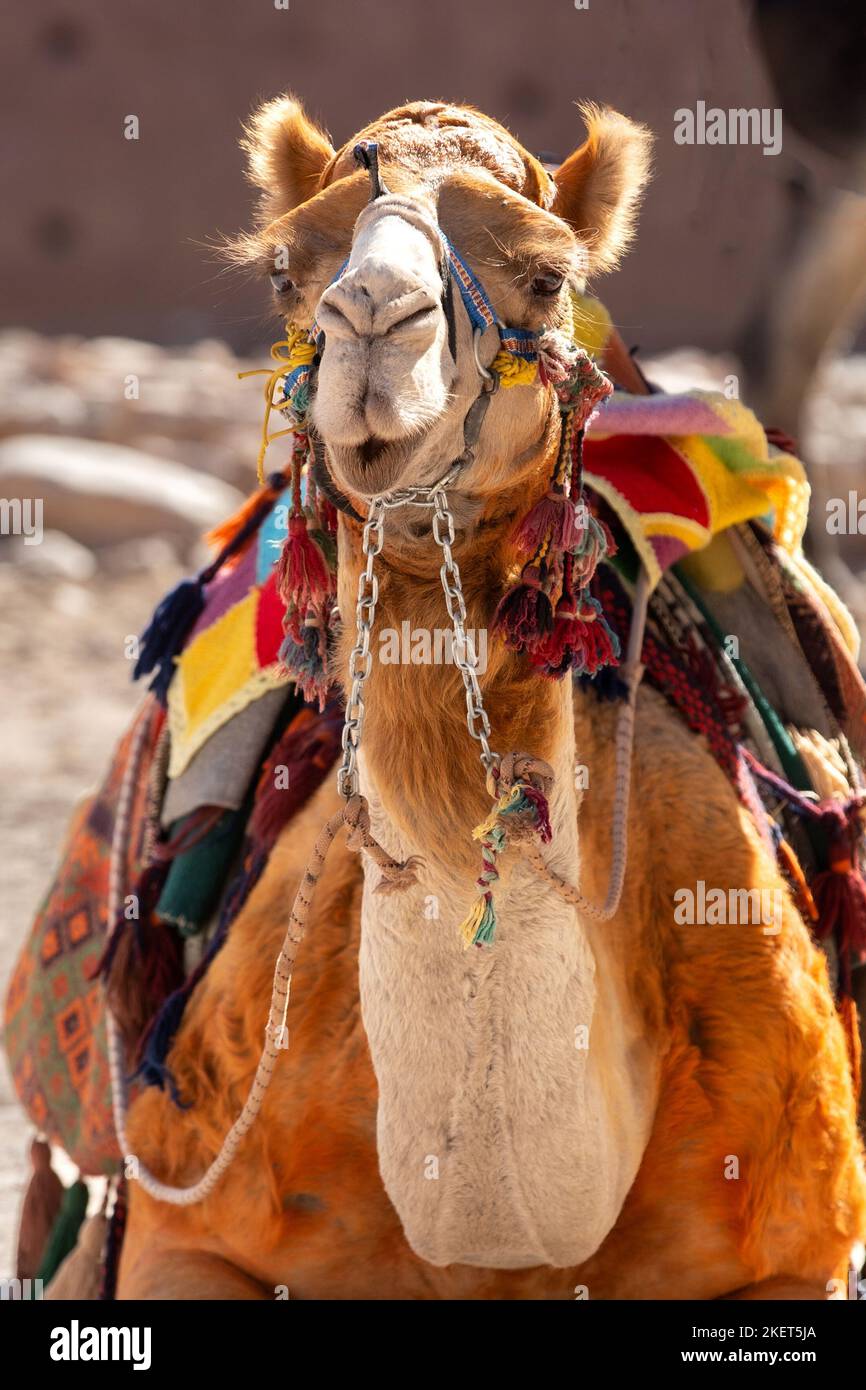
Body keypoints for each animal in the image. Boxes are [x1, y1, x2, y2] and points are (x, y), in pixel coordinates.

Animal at [92, 98, 866, 1299]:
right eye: (285, 268)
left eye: (547, 276)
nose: (374, 317)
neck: (495, 1235)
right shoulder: (188, 1226)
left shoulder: (805, 1239)